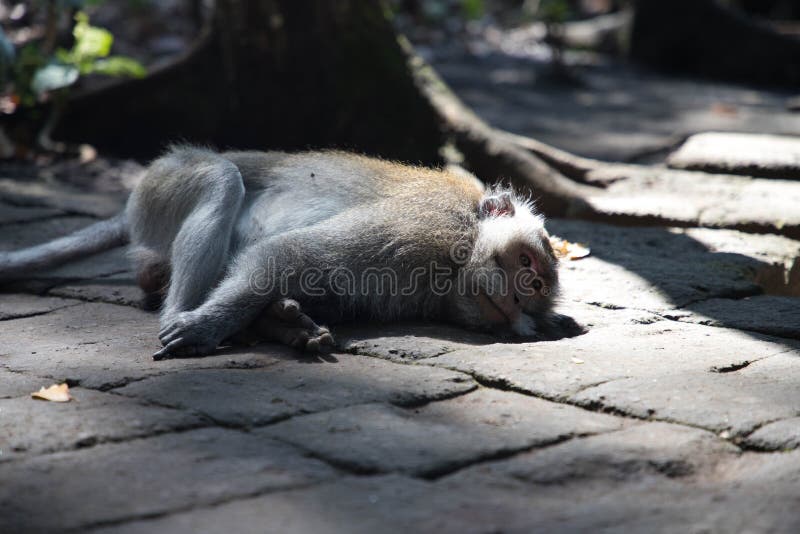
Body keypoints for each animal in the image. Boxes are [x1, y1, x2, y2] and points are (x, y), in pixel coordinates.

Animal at [0, 146, 564, 359]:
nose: (520, 298)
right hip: (163, 185)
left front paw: (280, 320)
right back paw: (188, 313)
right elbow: (292, 254)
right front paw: (207, 326)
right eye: (527, 264)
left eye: (537, 291)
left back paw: (280, 323)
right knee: (221, 179)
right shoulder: (426, 229)